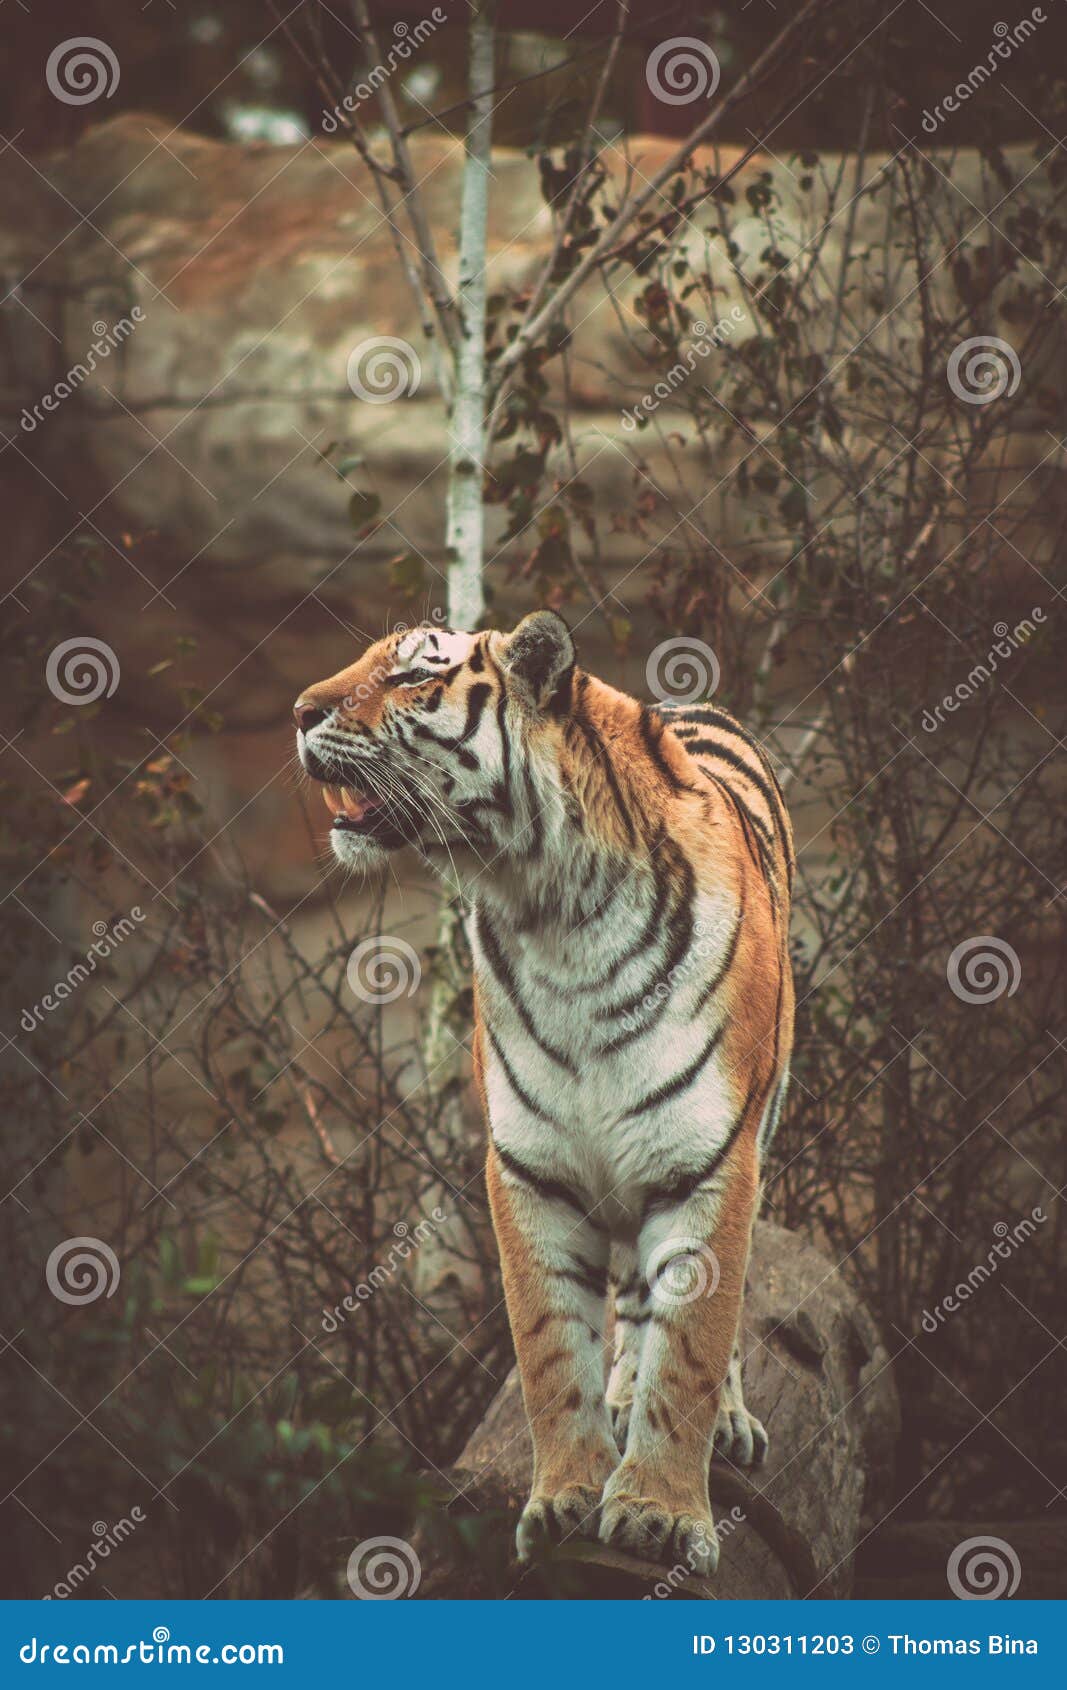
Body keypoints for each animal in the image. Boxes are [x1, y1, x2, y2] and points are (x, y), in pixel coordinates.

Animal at [294, 610, 794, 1576]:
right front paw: (566, 1498)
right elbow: (550, 1351)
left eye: (411, 676)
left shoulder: (707, 1160)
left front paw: (659, 1514)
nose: (297, 712)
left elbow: (692, 1348)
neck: (553, 912)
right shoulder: (532, 1168)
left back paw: (728, 1423)